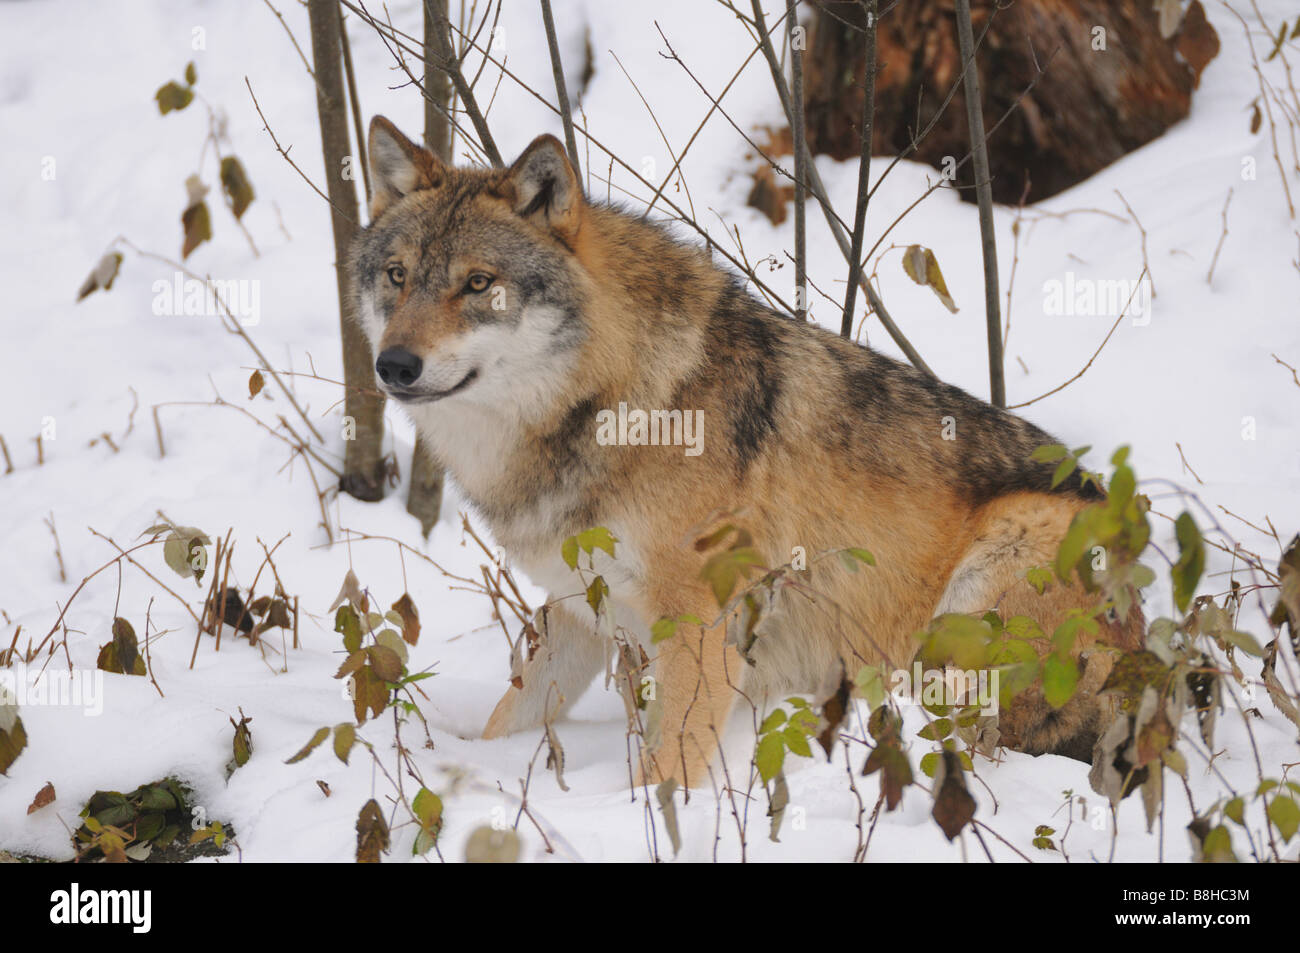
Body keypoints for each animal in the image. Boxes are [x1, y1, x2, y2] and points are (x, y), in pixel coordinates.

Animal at [348, 116, 1143, 788]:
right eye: (397, 275)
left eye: (479, 284)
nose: (393, 366)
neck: (606, 402)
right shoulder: (578, 604)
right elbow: (508, 715)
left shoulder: (699, 627)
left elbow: (666, 771)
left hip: (981, 591)